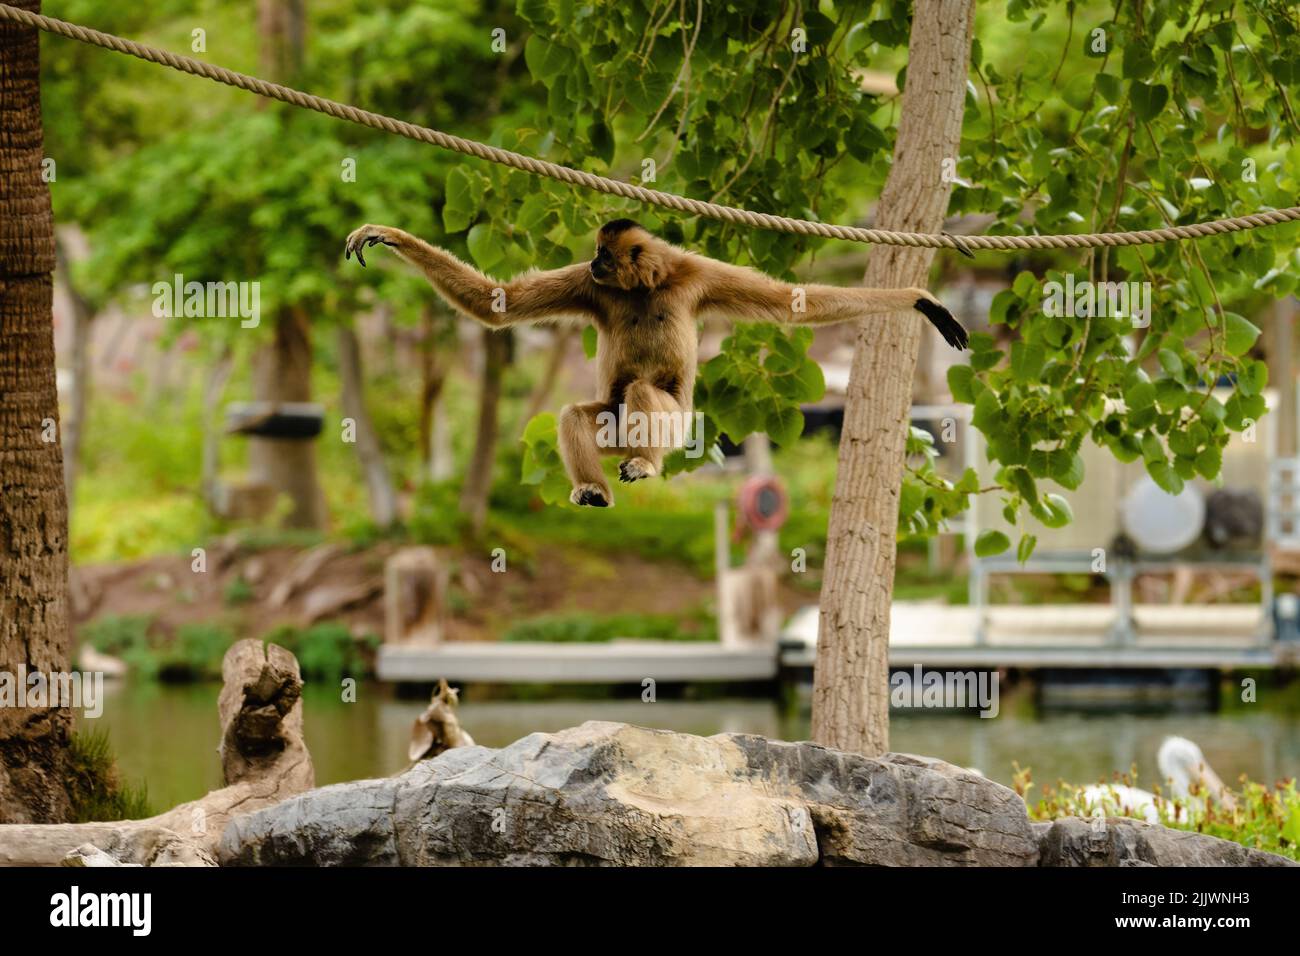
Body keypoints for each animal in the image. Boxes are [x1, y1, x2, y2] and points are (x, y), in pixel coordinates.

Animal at [345, 218, 968, 508]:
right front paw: (389, 236)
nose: (594, 263)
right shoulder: (590, 289)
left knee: (645, 393)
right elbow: (499, 303)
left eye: (603, 253)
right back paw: (594, 488)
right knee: (579, 414)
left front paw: (920, 301)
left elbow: (796, 304)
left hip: (675, 427)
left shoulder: (699, 273)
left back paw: (645, 464)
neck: (648, 286)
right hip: (612, 430)